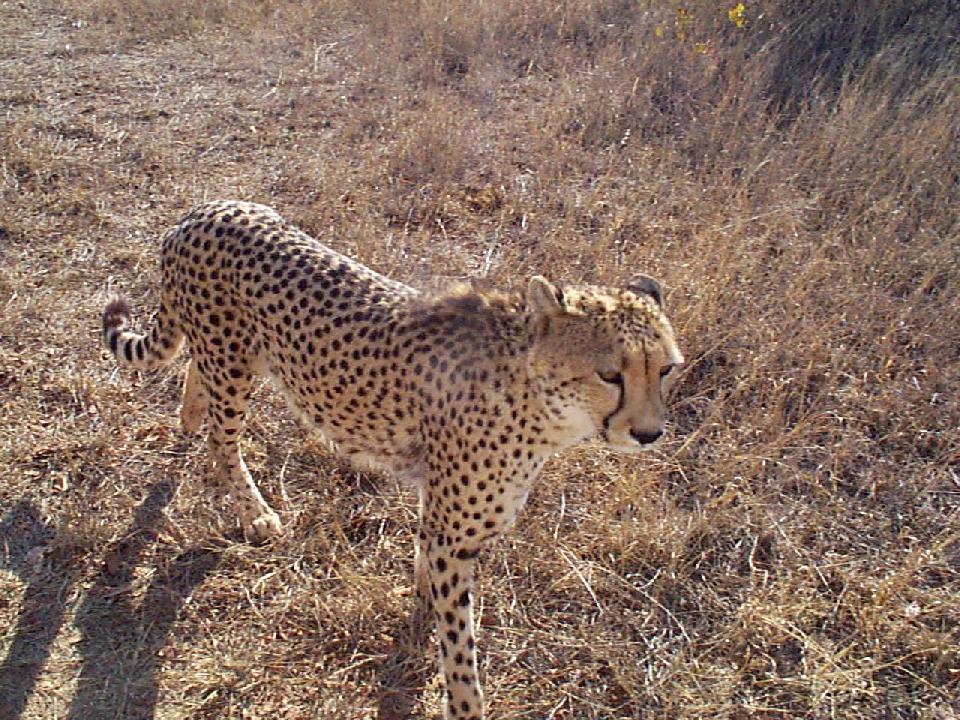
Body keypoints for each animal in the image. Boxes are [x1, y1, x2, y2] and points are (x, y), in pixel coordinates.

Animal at [100, 200, 684, 720]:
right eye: (610, 374)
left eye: (666, 370)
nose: (649, 433)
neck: (534, 399)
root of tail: (202, 211)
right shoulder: (455, 530)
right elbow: (459, 641)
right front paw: (463, 703)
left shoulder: (439, 508)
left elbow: (429, 578)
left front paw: (419, 616)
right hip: (234, 366)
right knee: (222, 441)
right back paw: (255, 512)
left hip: (229, 356)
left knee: (196, 374)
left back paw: (189, 418)